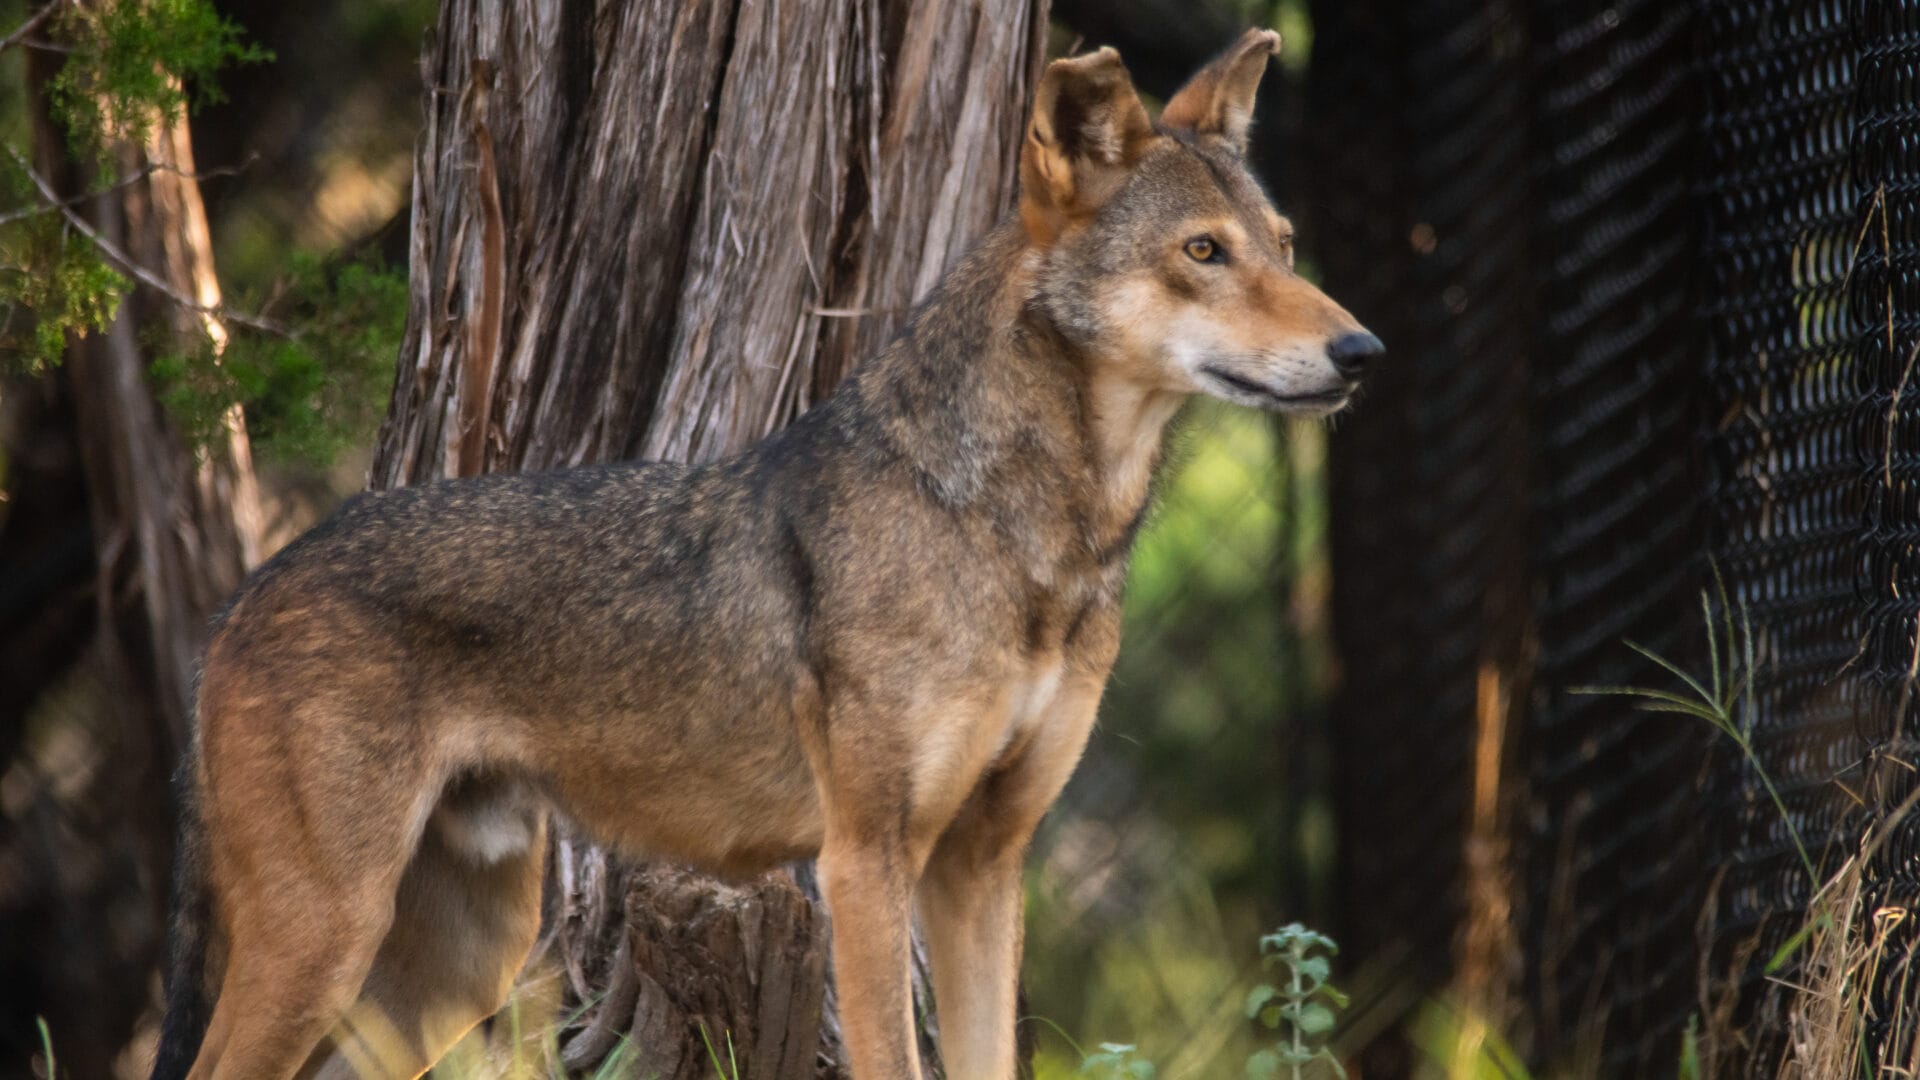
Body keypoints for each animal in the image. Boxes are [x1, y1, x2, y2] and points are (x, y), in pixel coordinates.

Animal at [150, 28, 1380, 1080]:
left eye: (1284, 251)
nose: (1362, 350)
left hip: (441, 975)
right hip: (332, 944)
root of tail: (246, 592)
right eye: (1203, 254)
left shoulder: (982, 867)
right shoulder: (867, 865)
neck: (1028, 534)